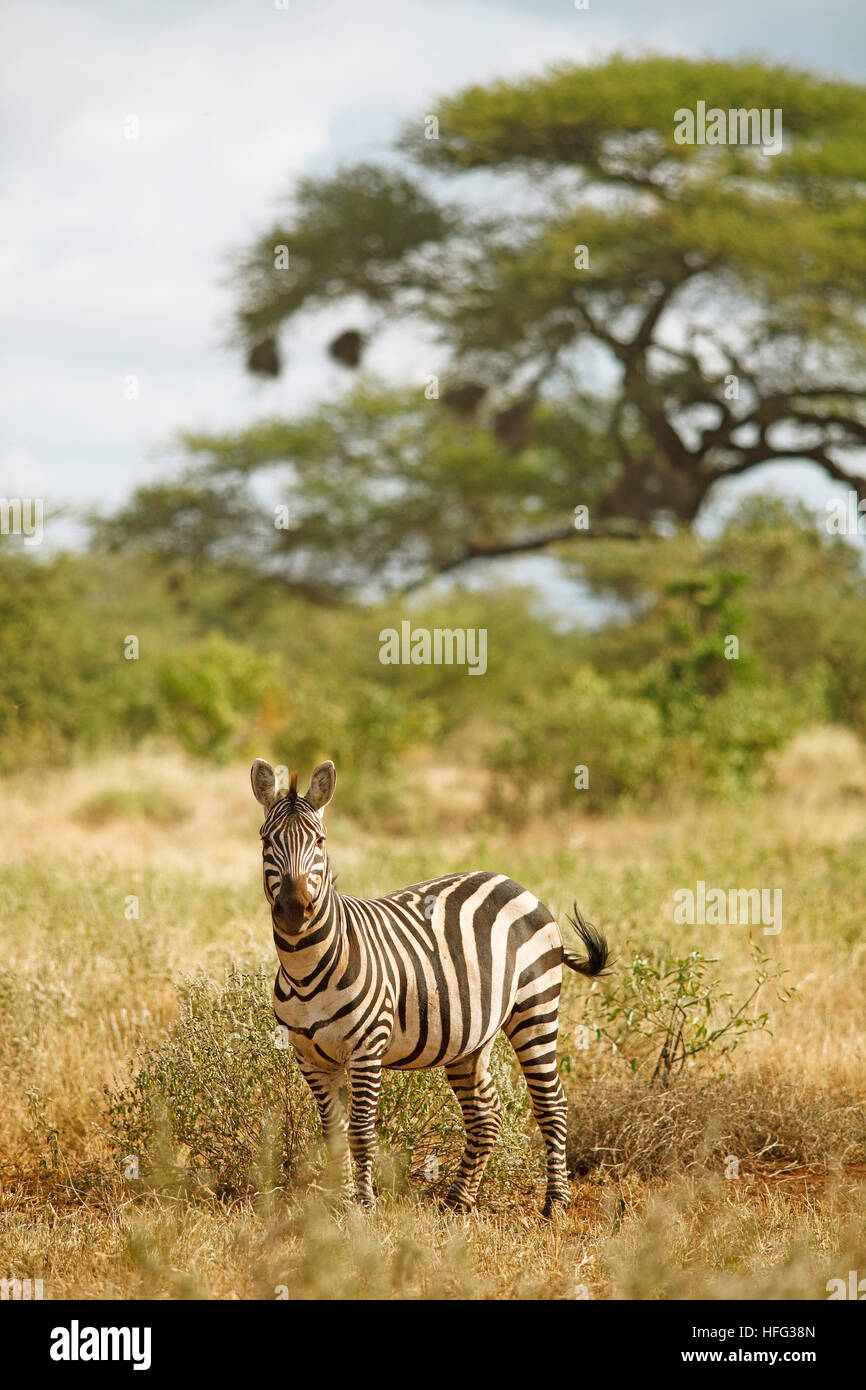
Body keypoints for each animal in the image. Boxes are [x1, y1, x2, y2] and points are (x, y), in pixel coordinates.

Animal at [251, 756, 609, 1217]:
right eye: (266, 841)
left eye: (320, 841)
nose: (295, 911)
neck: (306, 968)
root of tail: (513, 881)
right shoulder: (310, 1057)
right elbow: (333, 1132)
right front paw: (338, 1203)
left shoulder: (367, 1047)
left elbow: (361, 1132)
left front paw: (363, 1206)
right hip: (470, 1036)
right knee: (486, 1111)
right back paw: (459, 1200)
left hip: (536, 1006)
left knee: (552, 1103)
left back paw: (555, 1203)